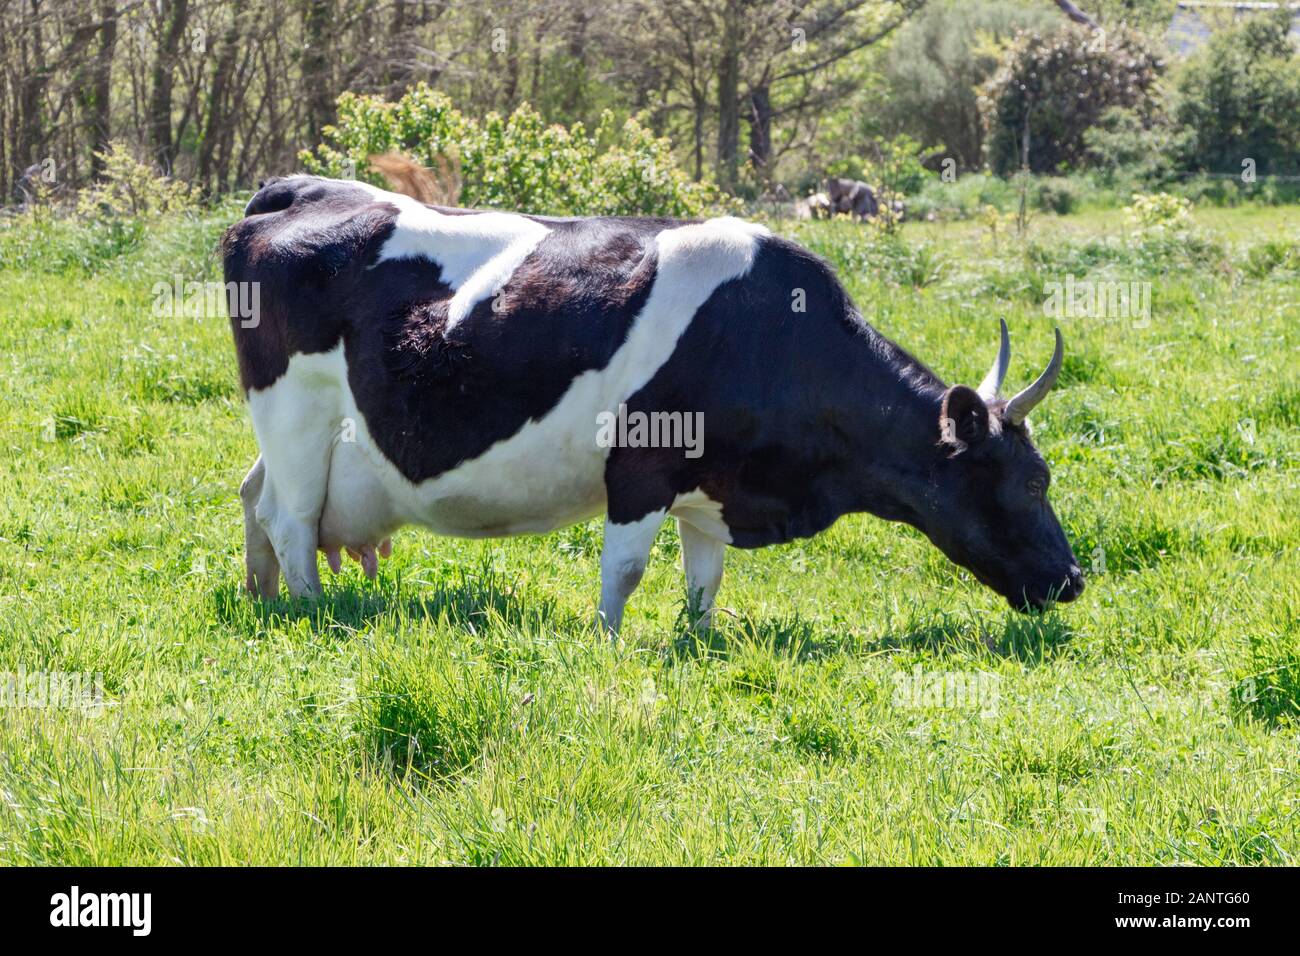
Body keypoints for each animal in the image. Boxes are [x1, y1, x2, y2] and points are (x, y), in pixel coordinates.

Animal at [223, 173, 1084, 634]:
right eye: (1032, 482)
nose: (1075, 579)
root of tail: (300, 187)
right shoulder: (641, 465)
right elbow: (626, 571)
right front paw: (607, 643)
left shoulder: (711, 488)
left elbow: (705, 582)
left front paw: (696, 642)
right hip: (295, 417)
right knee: (291, 521)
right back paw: (311, 611)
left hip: (295, 440)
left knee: (252, 494)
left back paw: (261, 599)